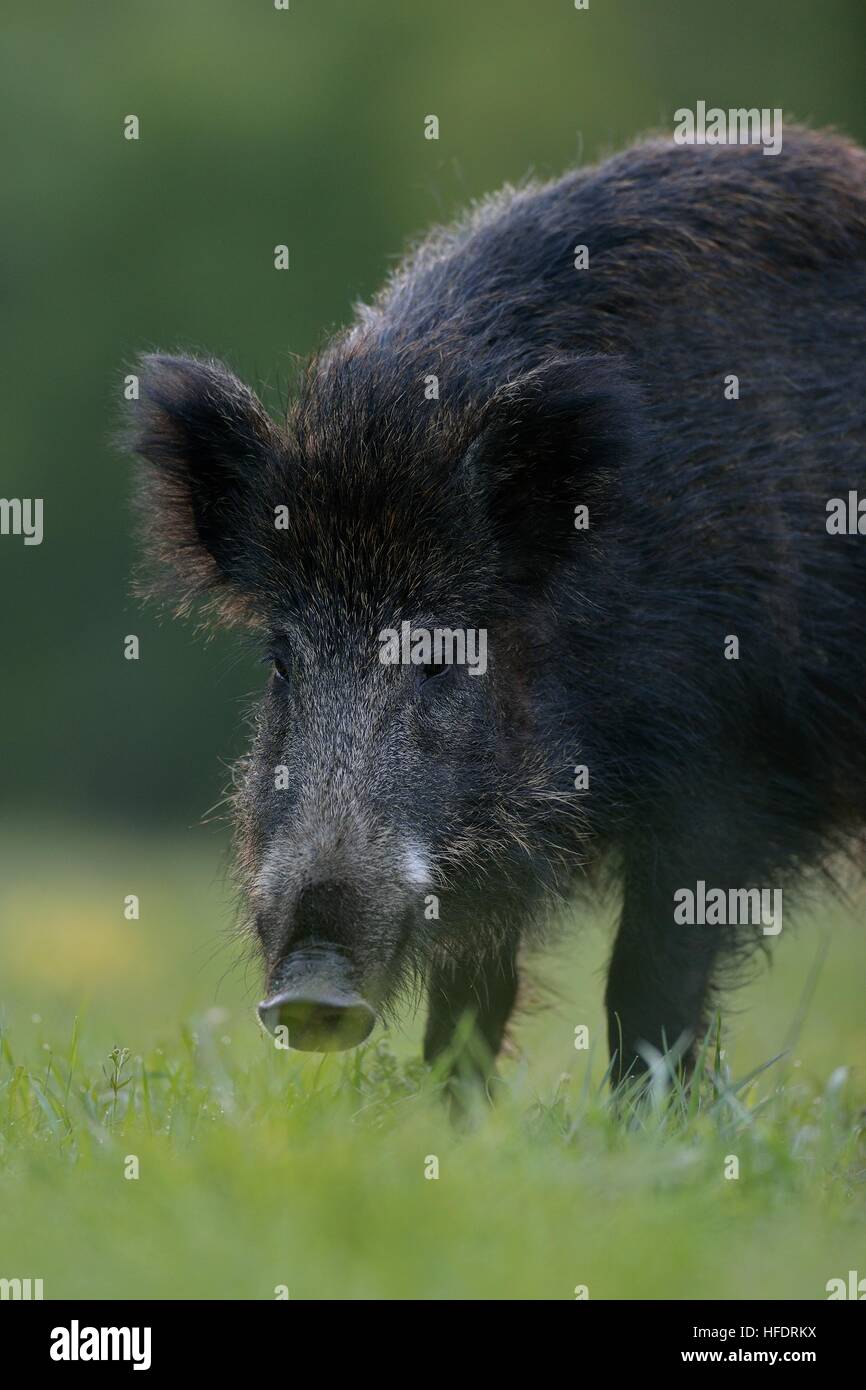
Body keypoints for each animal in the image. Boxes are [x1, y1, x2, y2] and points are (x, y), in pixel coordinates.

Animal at [126, 125, 866, 1088]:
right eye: (281, 662)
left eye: (442, 658)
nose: (310, 995)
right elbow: (472, 1001)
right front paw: (450, 1117)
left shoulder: (731, 772)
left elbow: (648, 986)